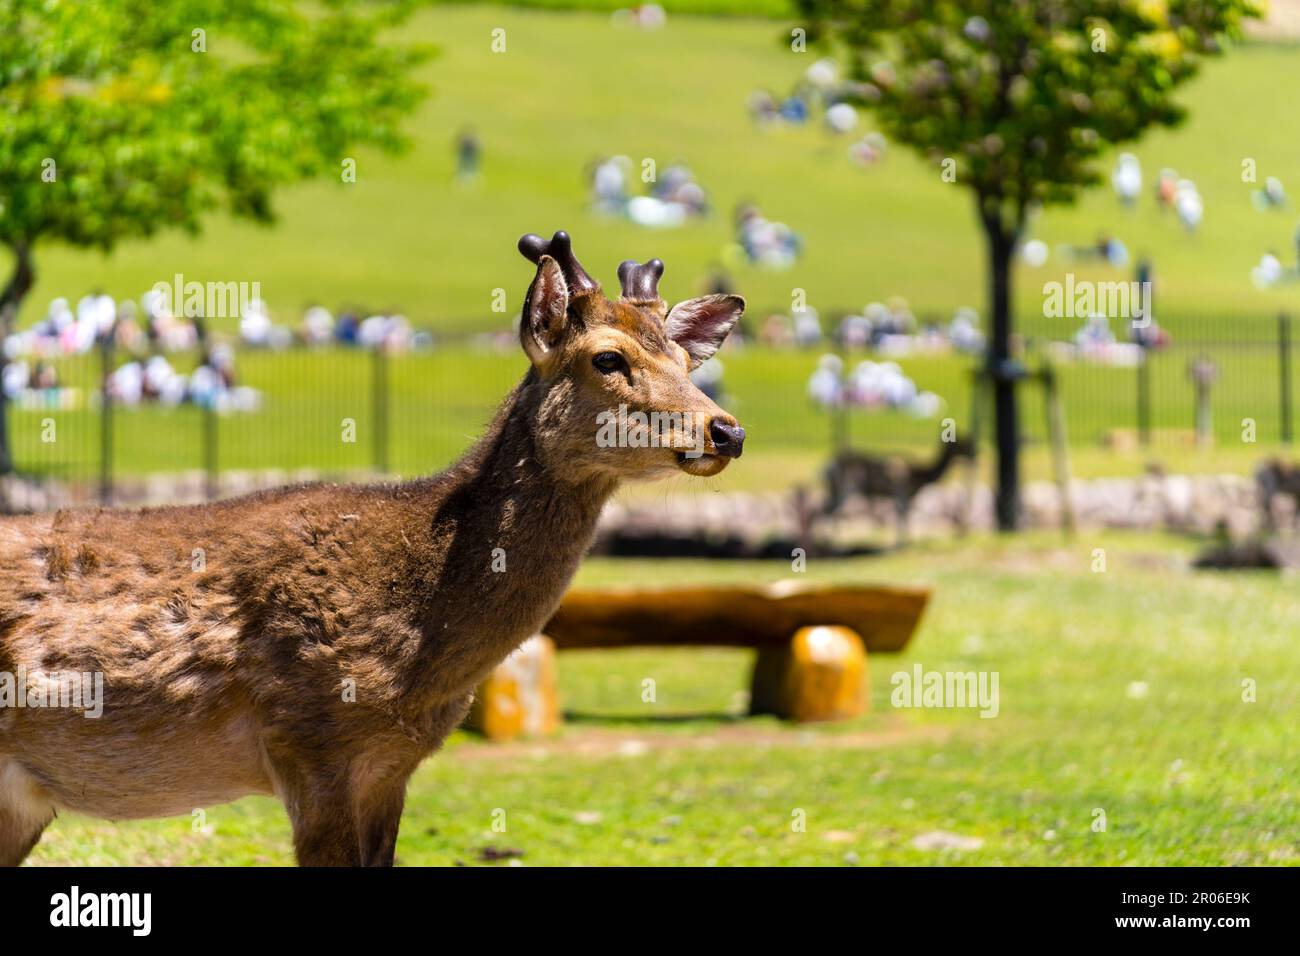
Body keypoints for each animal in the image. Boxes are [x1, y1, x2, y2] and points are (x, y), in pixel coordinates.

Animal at [822, 436, 974, 546]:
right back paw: (836, 545)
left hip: (833, 489)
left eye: (967, 441)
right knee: (834, 511)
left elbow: (903, 515)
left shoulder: (903, 495)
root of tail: (828, 466)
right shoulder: (901, 491)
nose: (973, 453)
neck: (918, 477)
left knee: (827, 508)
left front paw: (905, 541)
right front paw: (902, 544)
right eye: (960, 443)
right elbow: (903, 514)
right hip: (849, 487)